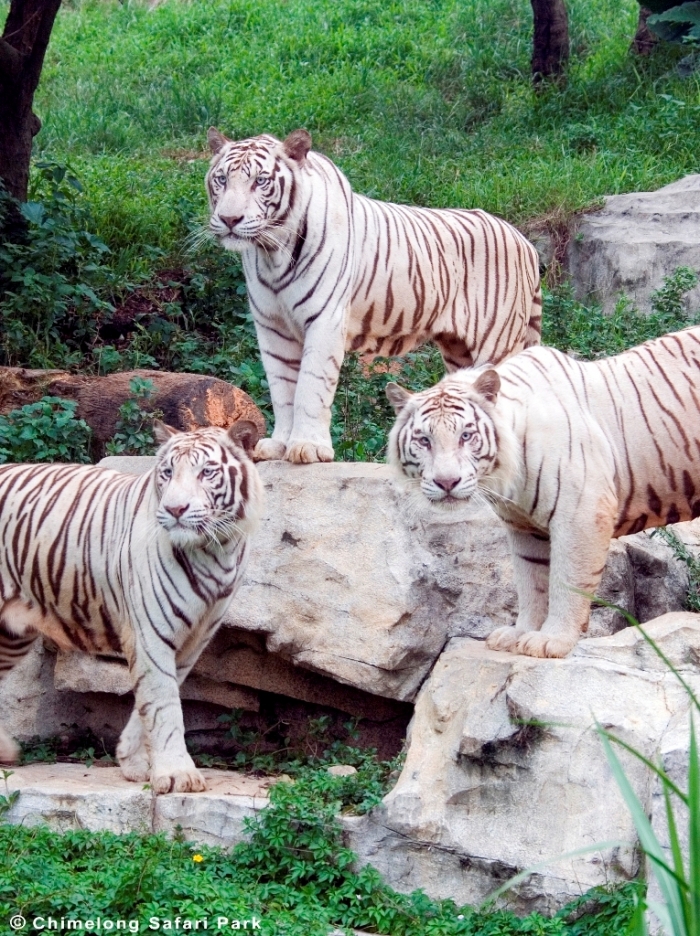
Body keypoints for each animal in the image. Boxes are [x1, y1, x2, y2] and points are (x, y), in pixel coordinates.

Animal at [0, 420, 263, 793]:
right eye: (167, 472)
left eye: (206, 472)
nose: (175, 510)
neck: (216, 550)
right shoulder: (151, 632)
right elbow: (164, 704)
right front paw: (178, 774)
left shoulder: (194, 638)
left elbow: (158, 696)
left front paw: (133, 761)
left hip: (11, 634)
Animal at [206, 127, 542, 464]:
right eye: (221, 179)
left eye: (260, 181)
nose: (230, 219)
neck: (272, 251)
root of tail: (524, 241)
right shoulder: (272, 327)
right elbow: (282, 388)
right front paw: (279, 445)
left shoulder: (324, 320)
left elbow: (310, 386)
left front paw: (308, 447)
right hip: (459, 351)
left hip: (497, 342)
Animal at [385, 326, 700, 659]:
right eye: (424, 440)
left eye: (466, 435)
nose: (447, 482)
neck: (509, 473)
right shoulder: (524, 527)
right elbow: (530, 583)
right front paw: (519, 634)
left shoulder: (582, 515)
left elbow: (567, 582)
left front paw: (552, 641)